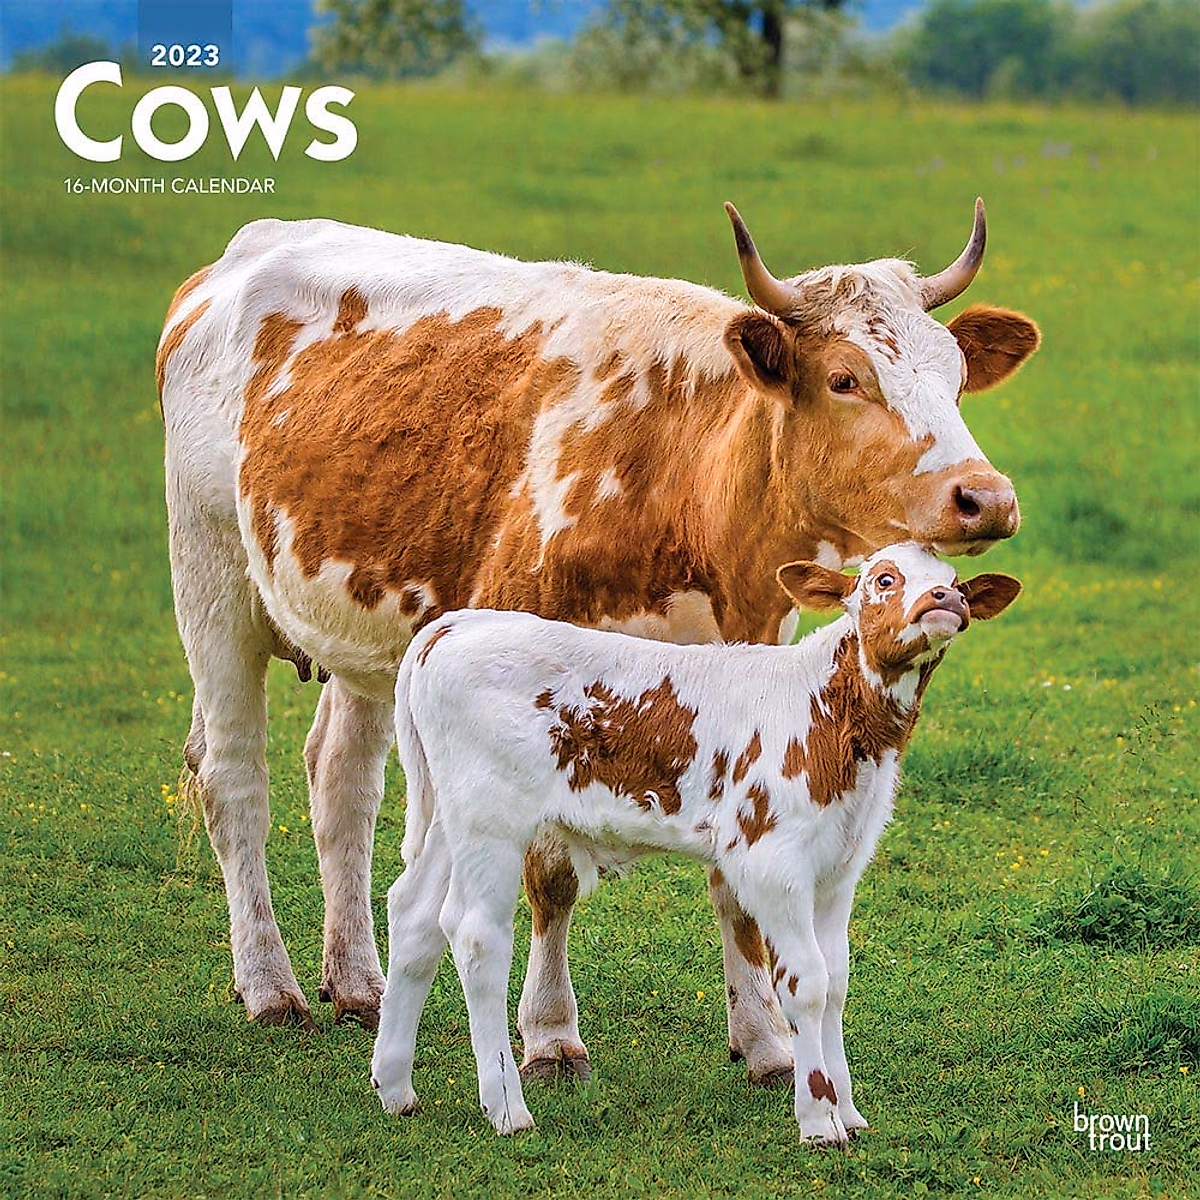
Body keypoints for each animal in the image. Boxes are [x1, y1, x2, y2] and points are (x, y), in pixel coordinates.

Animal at [370, 543, 1022, 1139]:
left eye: (955, 578)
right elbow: (806, 983)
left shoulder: (838, 869)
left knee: (415, 917)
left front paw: (850, 1112)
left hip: (449, 819)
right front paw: (818, 1120)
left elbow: (836, 982)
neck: (833, 717)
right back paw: (506, 1109)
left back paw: (396, 1087)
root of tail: (455, 626)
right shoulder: (772, 863)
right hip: (492, 818)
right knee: (476, 934)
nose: (945, 600)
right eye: (885, 578)